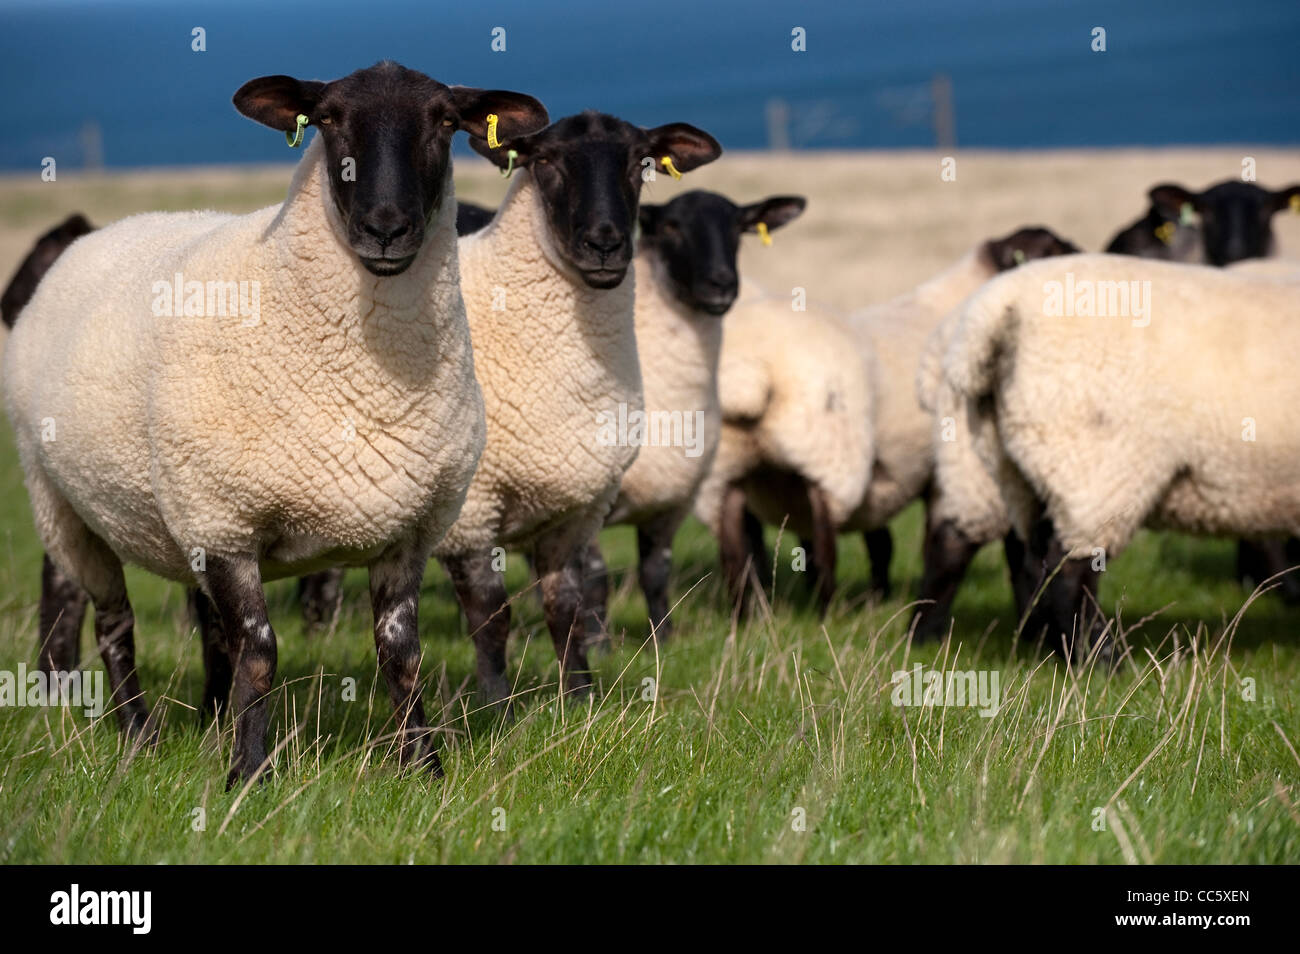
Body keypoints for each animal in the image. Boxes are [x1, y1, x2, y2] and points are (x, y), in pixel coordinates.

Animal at [2, 62, 550, 785]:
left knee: (200, 626)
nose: (386, 227)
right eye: (329, 119)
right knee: (114, 624)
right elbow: (260, 652)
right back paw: (138, 735)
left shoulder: (407, 528)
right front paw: (248, 774)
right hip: (64, 506)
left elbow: (401, 653)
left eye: (443, 121)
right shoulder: (225, 523)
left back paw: (206, 719)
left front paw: (424, 765)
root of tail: (92, 236)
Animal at [425, 112, 722, 707]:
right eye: (545, 161)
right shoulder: (472, 510)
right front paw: (495, 702)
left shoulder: (576, 508)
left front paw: (579, 696)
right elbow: (490, 614)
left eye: (640, 161)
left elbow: (566, 606)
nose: (605, 243)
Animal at [578, 190, 807, 642]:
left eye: (739, 228)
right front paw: (599, 646)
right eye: (671, 227)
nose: (722, 283)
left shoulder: (673, 501)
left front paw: (662, 640)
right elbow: (595, 577)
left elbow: (655, 574)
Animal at [939, 253, 1300, 656]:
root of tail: (996, 308)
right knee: (1069, 568)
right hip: (1093, 465)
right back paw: (1102, 658)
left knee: (1031, 558)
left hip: (1015, 465)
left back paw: (1048, 647)